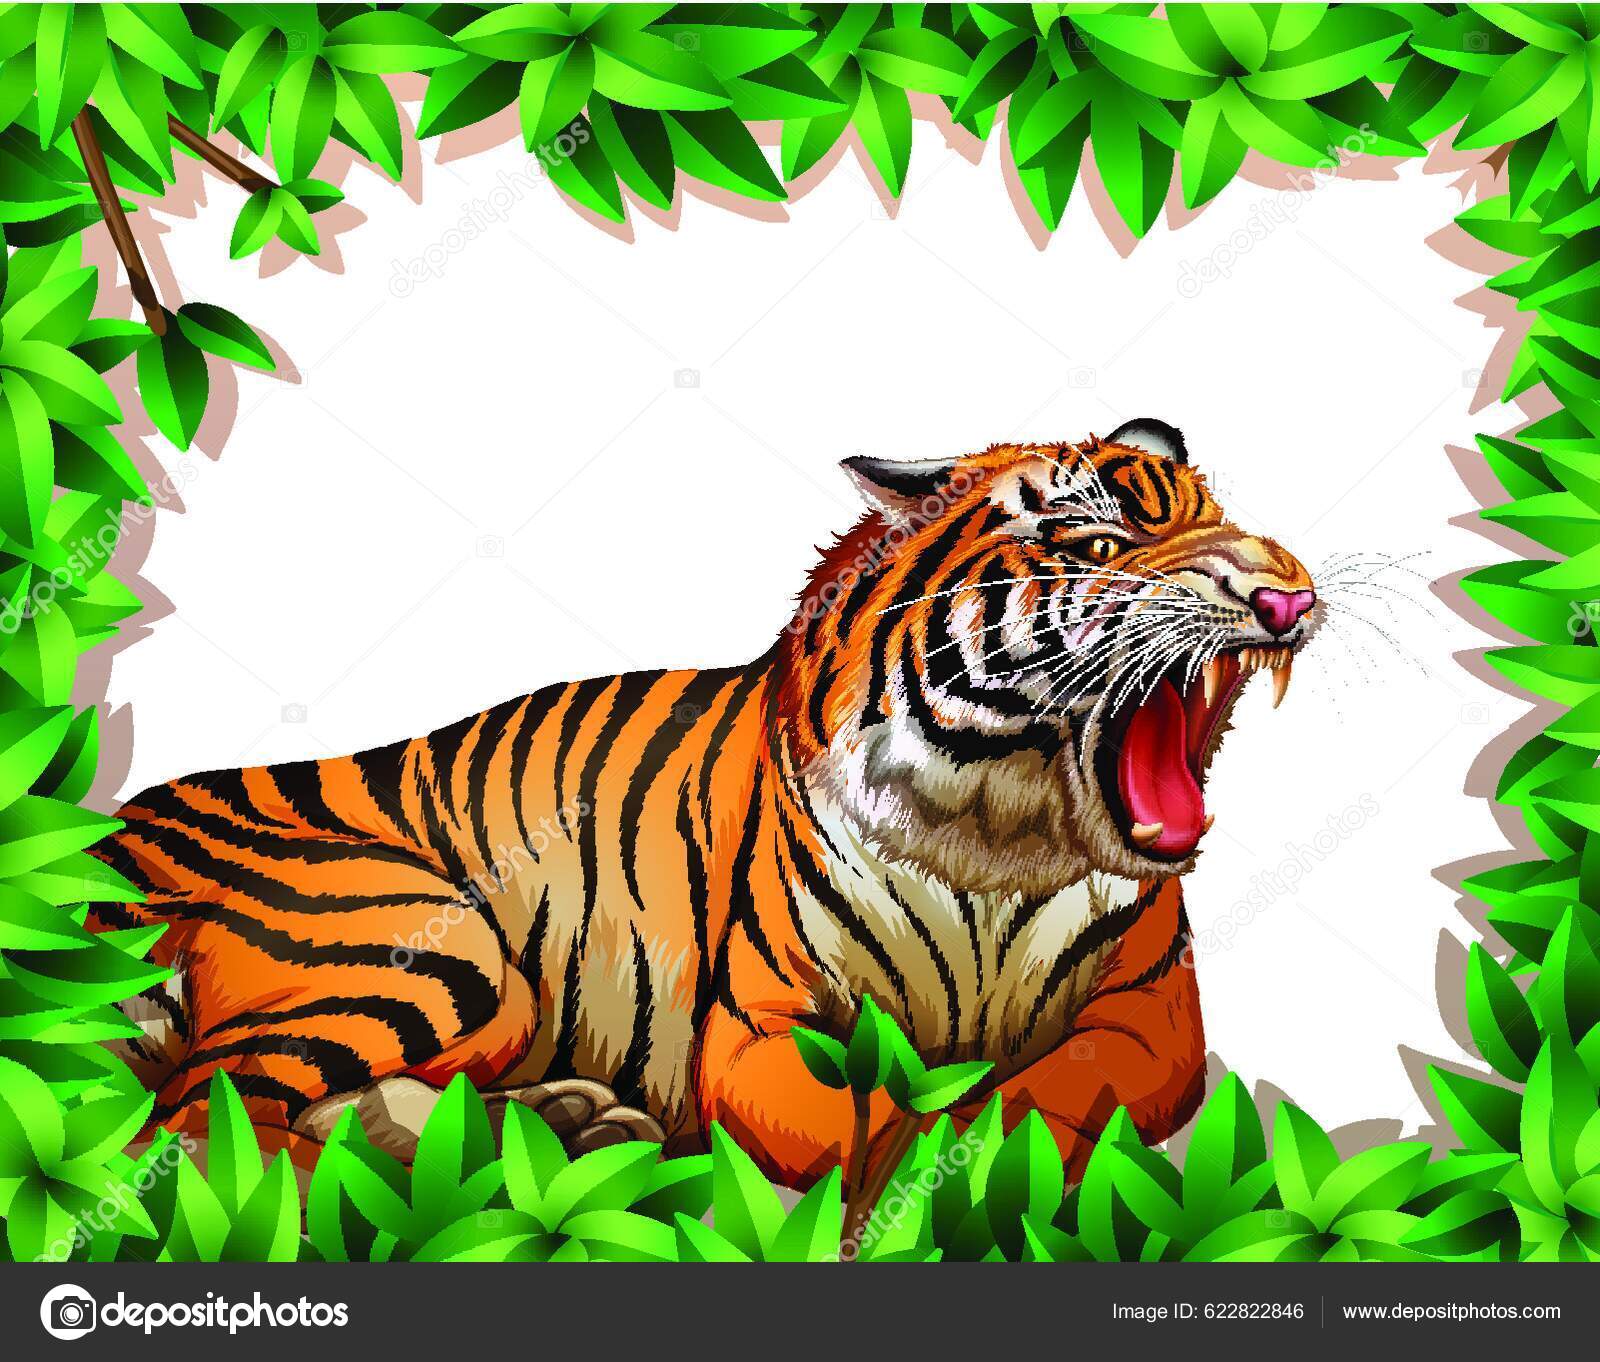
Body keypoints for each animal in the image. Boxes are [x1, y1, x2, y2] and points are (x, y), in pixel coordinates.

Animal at [88, 417, 1318, 1186]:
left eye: (1229, 517)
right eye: (1101, 543)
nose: (1289, 592)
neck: (993, 836)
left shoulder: (1149, 1018)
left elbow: (1044, 1094)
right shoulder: (761, 1023)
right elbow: (851, 1122)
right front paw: (904, 1189)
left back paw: (562, 1127)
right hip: (437, 950)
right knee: (203, 1127)